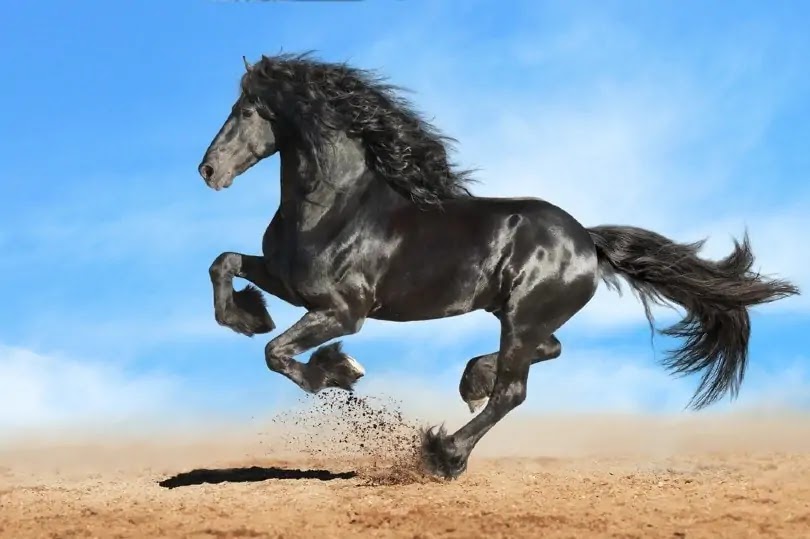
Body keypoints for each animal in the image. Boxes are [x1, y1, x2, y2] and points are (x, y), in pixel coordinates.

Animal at [197, 53, 799, 479]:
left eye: (246, 110)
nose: (208, 170)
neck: (335, 206)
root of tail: (587, 239)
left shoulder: (343, 311)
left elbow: (278, 355)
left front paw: (340, 370)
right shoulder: (292, 284)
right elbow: (225, 264)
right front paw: (250, 317)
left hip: (524, 314)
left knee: (515, 390)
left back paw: (444, 453)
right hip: (516, 315)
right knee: (542, 353)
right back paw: (472, 381)